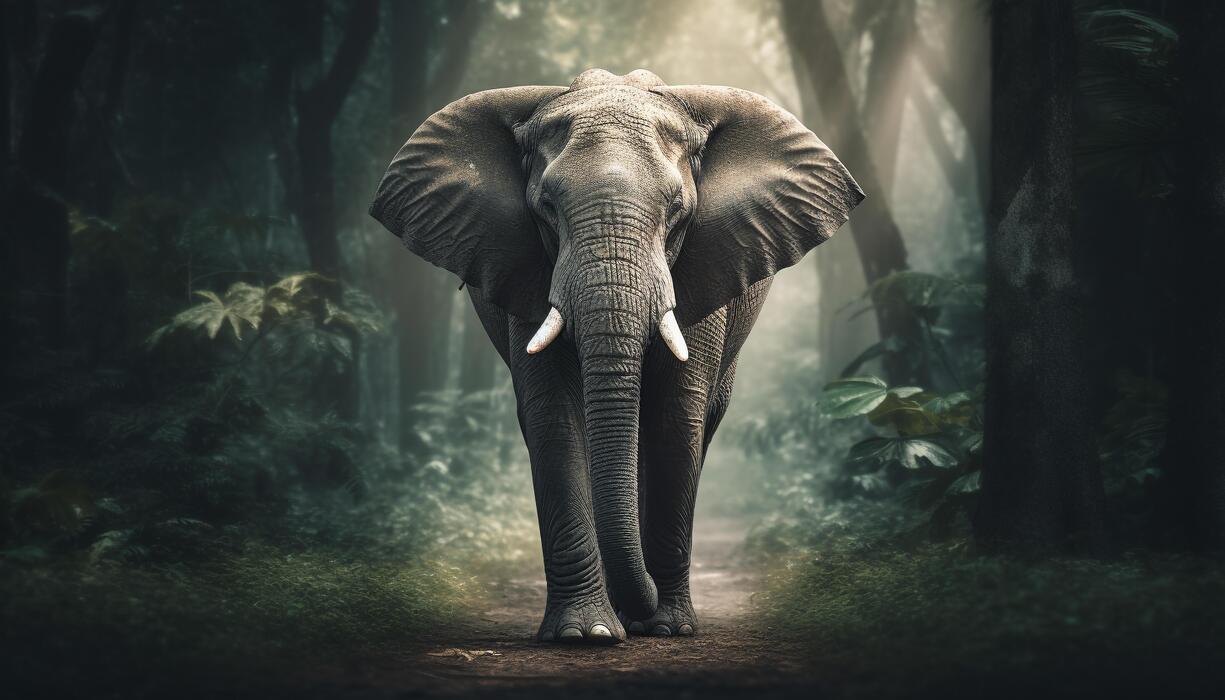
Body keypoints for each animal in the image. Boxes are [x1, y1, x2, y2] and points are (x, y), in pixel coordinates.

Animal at [371, 69, 862, 645]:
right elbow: (553, 417)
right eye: (547, 209)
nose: (641, 607)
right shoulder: (527, 268)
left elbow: (676, 416)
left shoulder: (703, 265)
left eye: (678, 212)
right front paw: (586, 635)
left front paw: (667, 628)